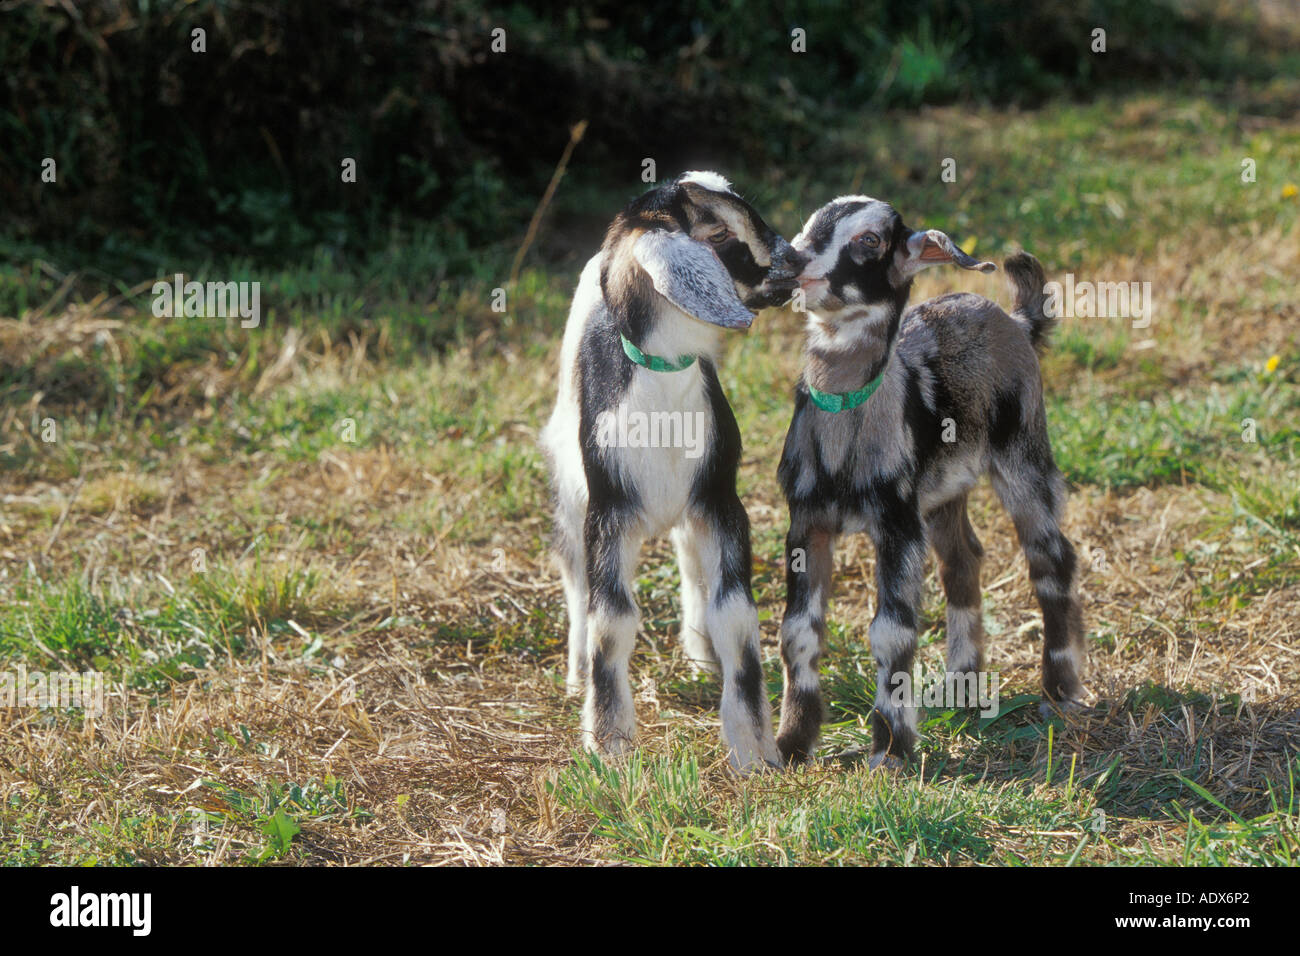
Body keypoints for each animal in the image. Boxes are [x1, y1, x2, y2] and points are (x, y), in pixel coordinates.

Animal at [540, 171, 808, 771]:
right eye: (719, 232)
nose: (798, 259)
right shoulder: (608, 512)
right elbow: (610, 621)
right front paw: (609, 743)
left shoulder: (719, 500)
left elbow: (735, 614)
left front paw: (753, 747)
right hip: (570, 493)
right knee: (575, 579)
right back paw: (575, 677)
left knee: (689, 564)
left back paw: (702, 655)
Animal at [774, 195, 1087, 769]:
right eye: (809, 224)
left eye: (870, 240)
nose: (791, 261)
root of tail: (1014, 320)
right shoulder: (806, 524)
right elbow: (797, 631)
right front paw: (791, 744)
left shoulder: (897, 524)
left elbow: (891, 632)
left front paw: (890, 750)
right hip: (944, 492)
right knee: (963, 561)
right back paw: (962, 687)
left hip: (1024, 457)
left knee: (1052, 559)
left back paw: (1059, 690)